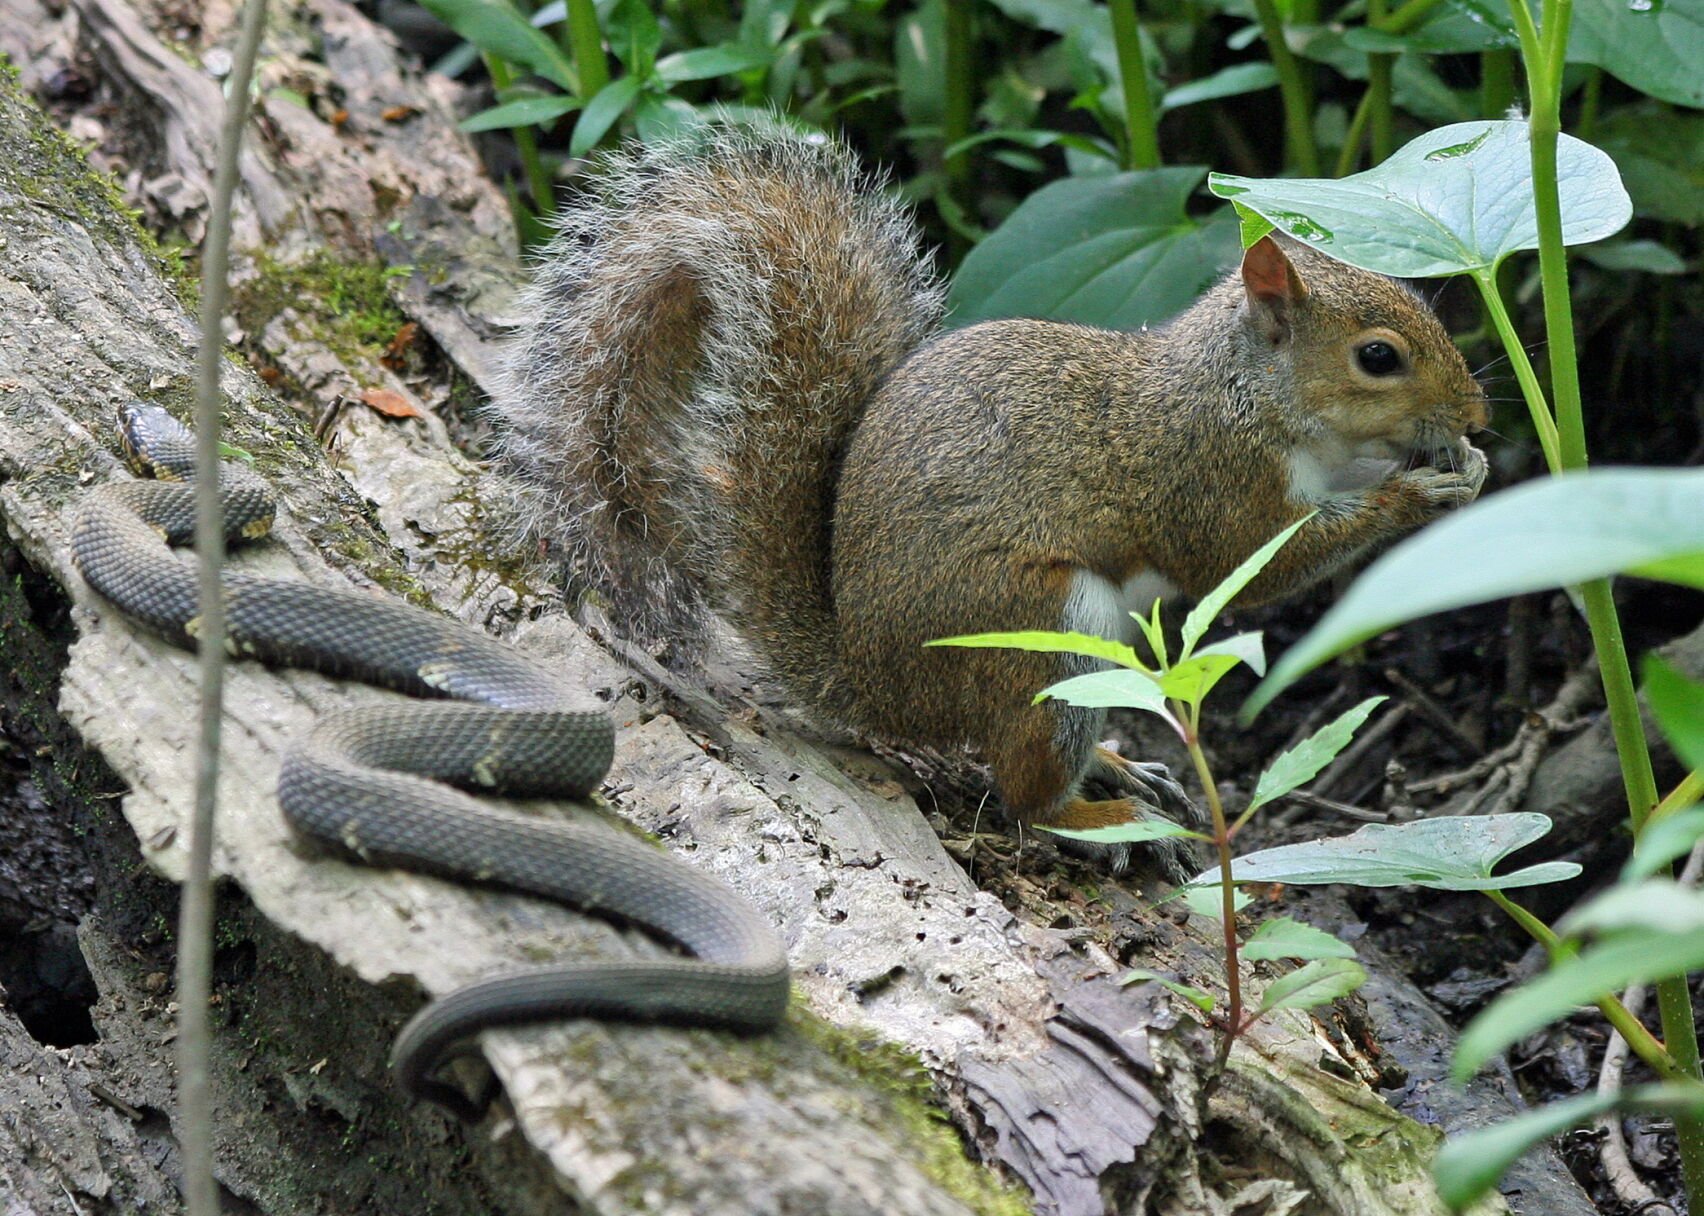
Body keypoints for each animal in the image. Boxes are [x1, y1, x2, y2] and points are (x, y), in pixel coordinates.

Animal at [492, 123, 1489, 878]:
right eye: (1378, 356)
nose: (1479, 410)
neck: (1245, 391)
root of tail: (877, 686)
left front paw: (1467, 464)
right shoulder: (1211, 480)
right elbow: (1259, 566)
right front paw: (1419, 491)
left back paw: (1120, 766)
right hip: (1043, 626)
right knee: (1022, 794)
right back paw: (1092, 817)